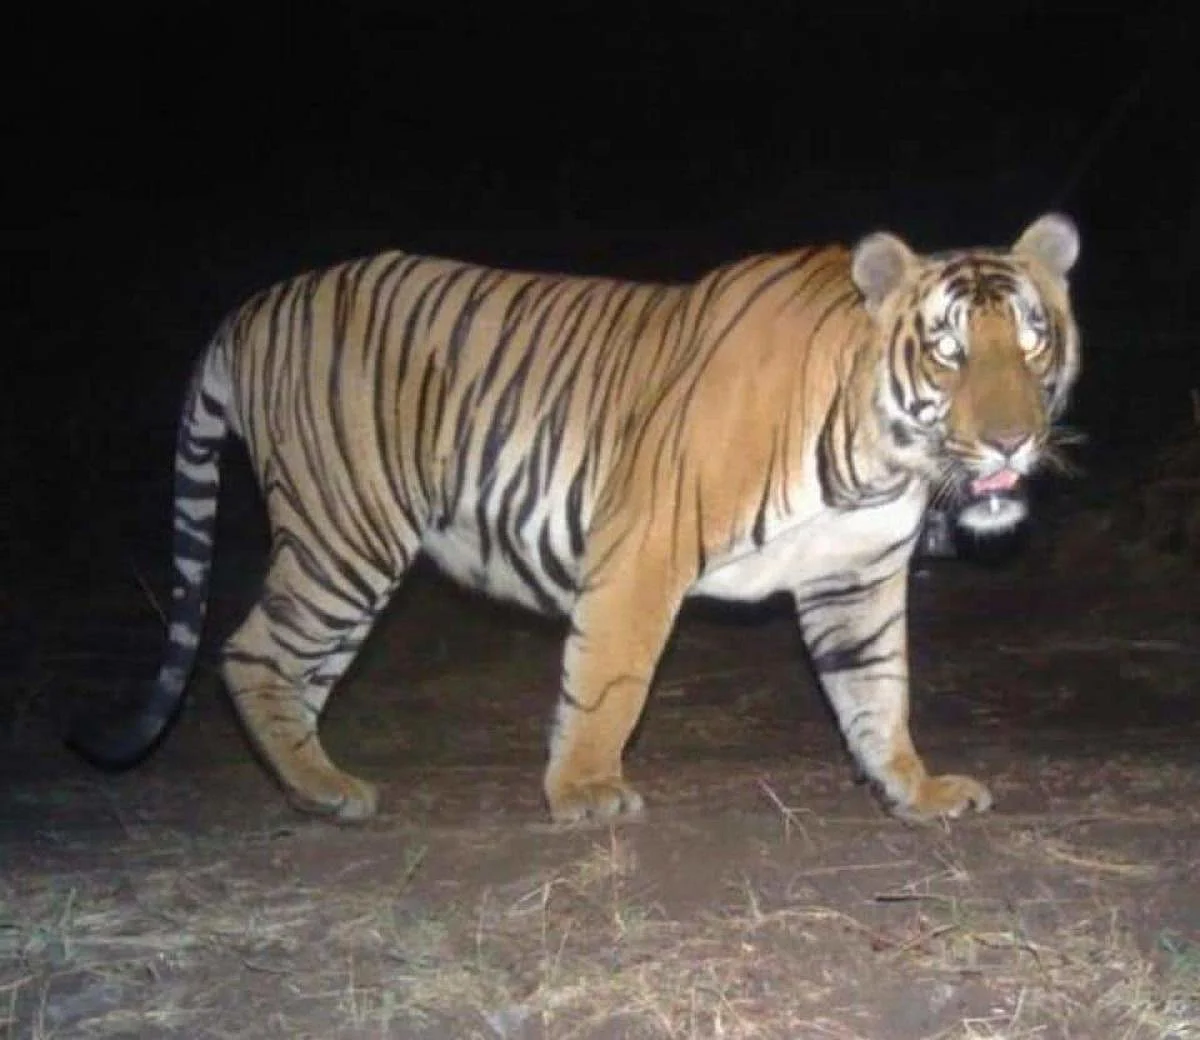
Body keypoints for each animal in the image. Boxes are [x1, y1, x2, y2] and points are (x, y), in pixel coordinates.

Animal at [68, 214, 1082, 825]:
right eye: (949, 353)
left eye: (1032, 341)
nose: (1011, 442)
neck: (879, 462)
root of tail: (252, 308)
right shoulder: (643, 547)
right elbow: (610, 678)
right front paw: (587, 790)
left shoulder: (855, 578)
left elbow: (877, 692)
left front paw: (916, 789)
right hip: (344, 533)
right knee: (252, 654)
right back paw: (327, 789)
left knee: (290, 669)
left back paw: (310, 786)